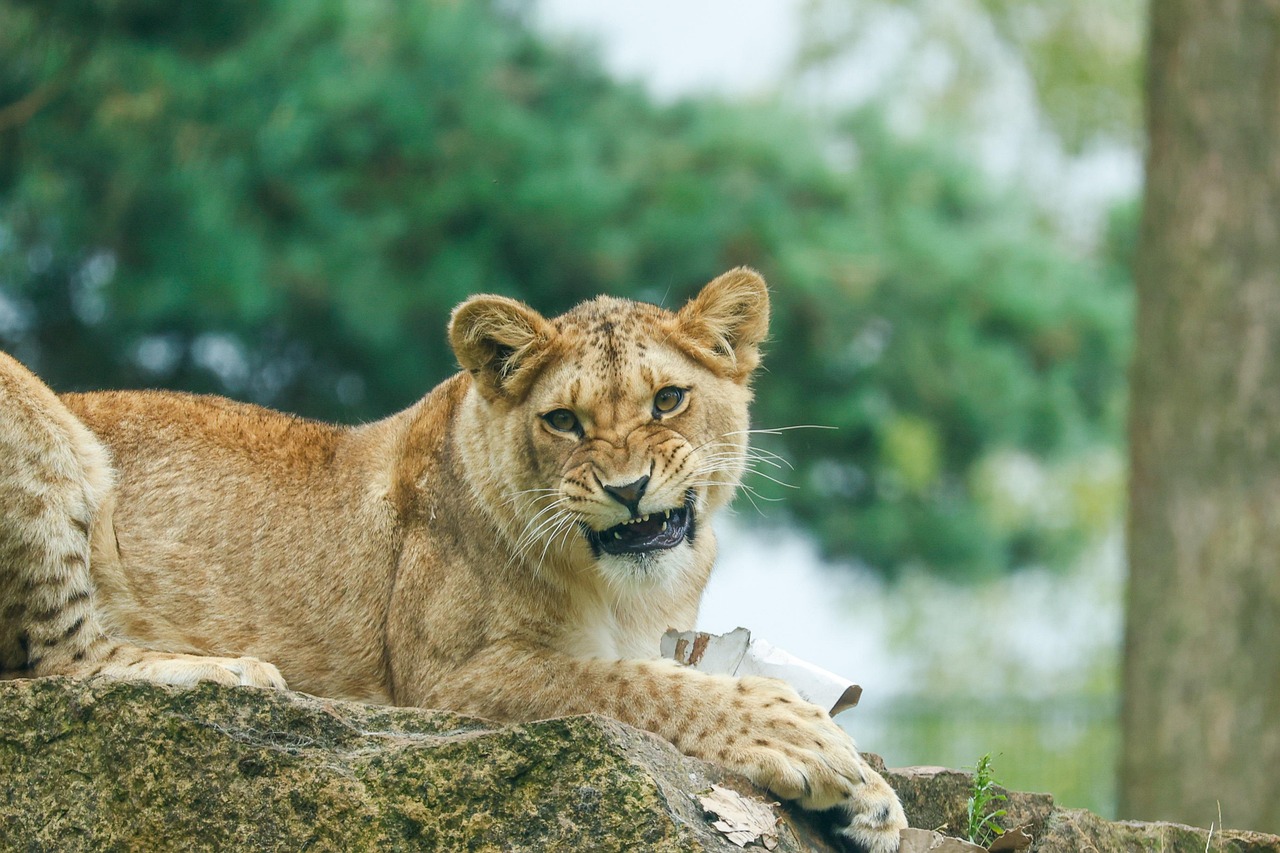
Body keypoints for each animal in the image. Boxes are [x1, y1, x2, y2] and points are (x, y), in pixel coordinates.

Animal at [0, 268, 906, 851]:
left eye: (669, 400)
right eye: (564, 420)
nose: (627, 489)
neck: (629, 592)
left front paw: (867, 796)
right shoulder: (449, 681)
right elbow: (635, 686)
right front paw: (813, 743)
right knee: (60, 661)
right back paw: (231, 672)